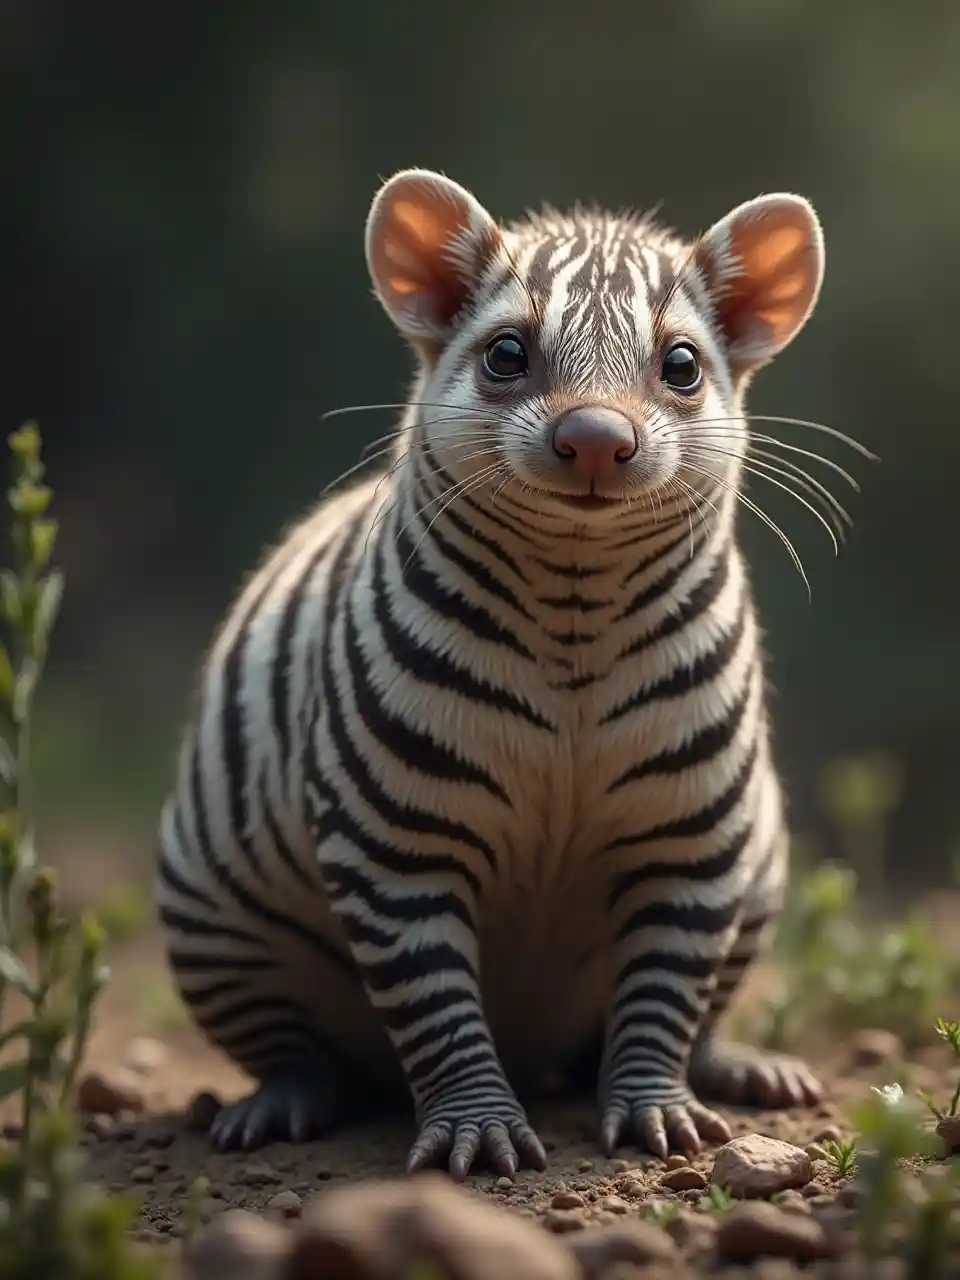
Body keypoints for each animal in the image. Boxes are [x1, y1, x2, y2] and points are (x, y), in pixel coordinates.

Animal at [157, 167, 841, 1179]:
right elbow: (436, 1014)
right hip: (219, 924)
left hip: (756, 877)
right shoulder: (396, 846)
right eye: (508, 355)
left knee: (686, 1023)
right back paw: (280, 1106)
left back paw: (744, 1072)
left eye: (680, 366)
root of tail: (537, 1048)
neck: (575, 623)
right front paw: (477, 1132)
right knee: (300, 1054)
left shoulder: (689, 840)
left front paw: (656, 1114)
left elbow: (663, 1005)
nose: (595, 438)